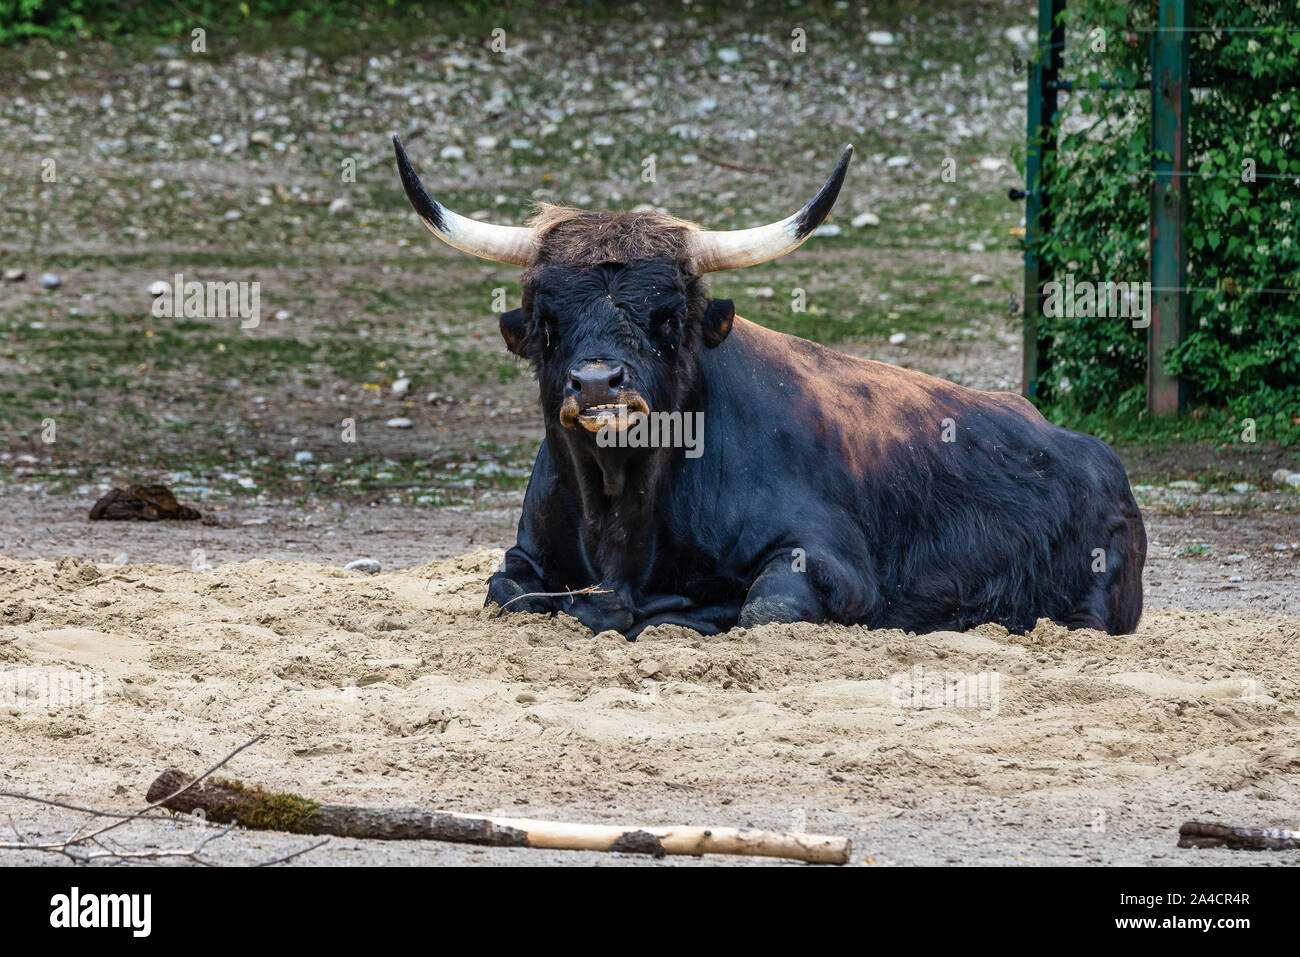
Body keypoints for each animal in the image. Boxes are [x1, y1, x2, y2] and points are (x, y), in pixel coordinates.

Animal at [393, 135, 1146, 640]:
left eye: (670, 316)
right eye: (546, 319)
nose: (599, 381)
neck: (620, 508)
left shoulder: (831, 563)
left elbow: (761, 608)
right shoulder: (524, 556)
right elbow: (506, 592)